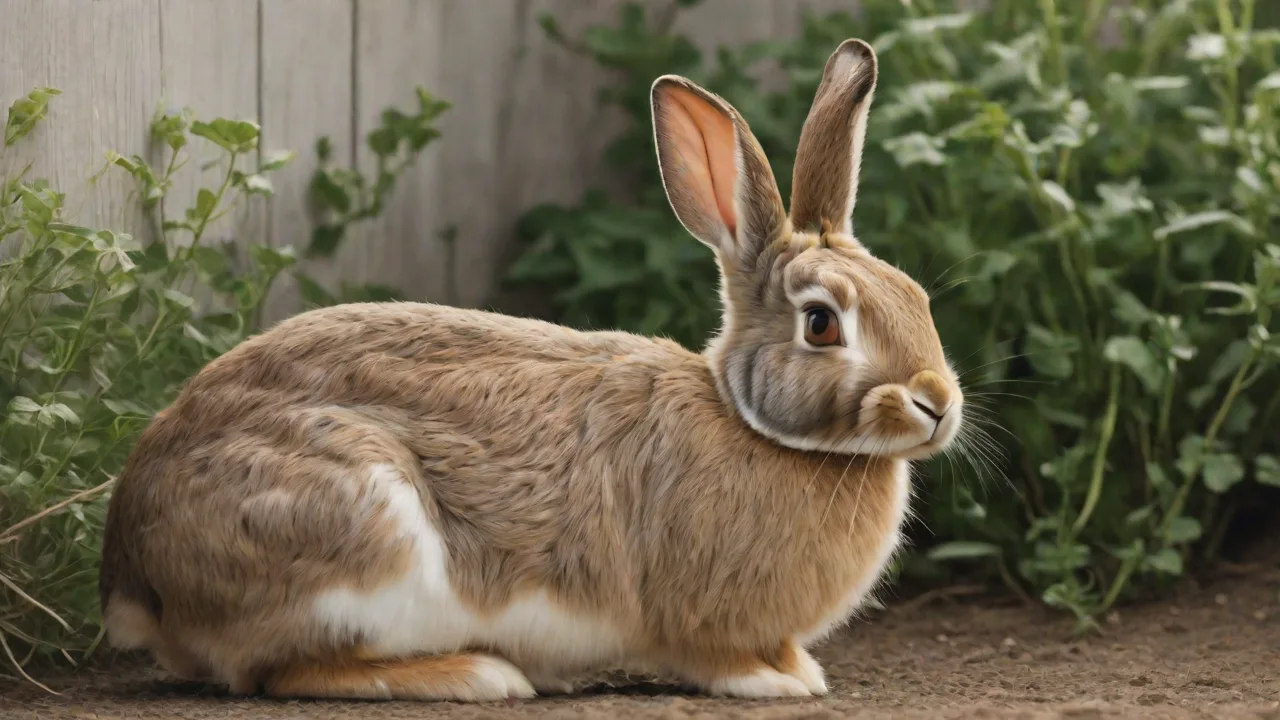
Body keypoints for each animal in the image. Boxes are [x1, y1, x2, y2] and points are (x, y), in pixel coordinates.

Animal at [98, 38, 964, 702]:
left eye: (915, 296)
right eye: (822, 323)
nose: (937, 404)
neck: (753, 425)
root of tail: (134, 572)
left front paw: (801, 670)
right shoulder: (697, 615)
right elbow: (713, 657)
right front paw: (776, 684)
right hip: (362, 535)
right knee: (289, 672)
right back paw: (479, 675)